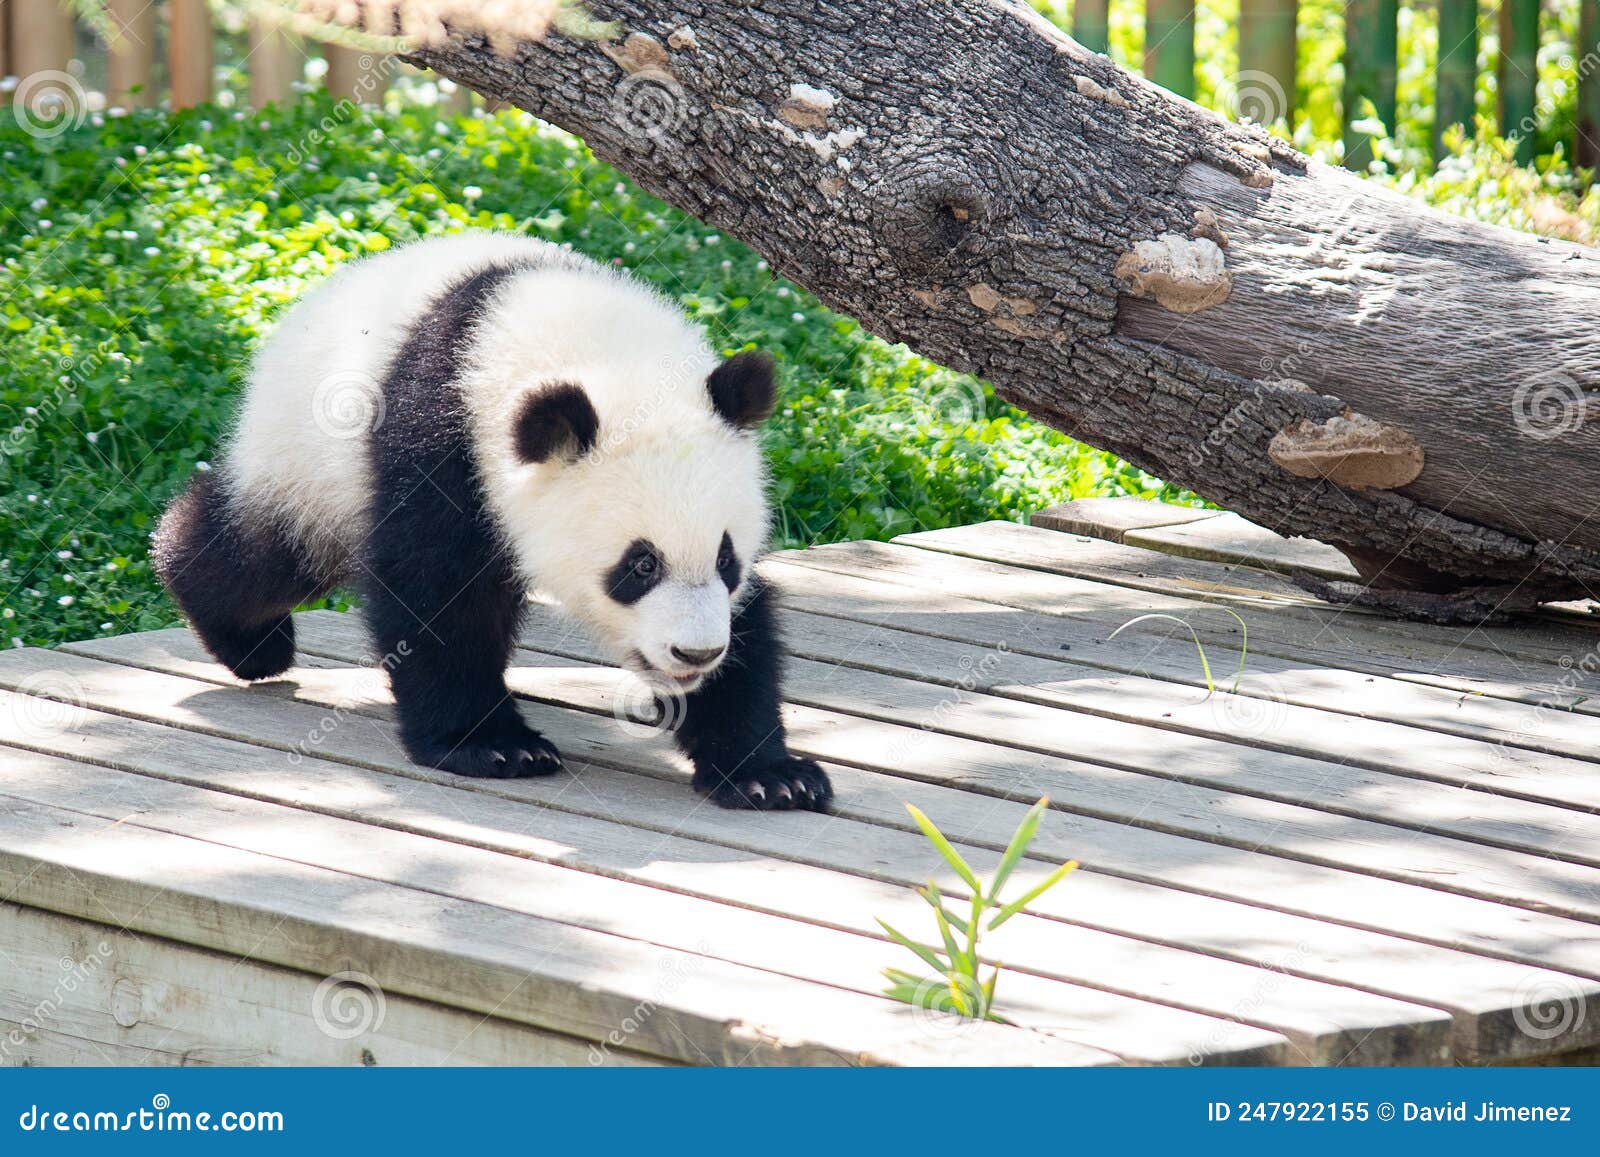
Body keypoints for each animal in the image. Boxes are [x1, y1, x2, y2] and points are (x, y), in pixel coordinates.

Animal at [152, 232, 832, 812]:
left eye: (726, 559)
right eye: (639, 565)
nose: (695, 652)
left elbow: (752, 622)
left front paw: (769, 774)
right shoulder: (441, 439)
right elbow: (436, 590)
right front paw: (491, 745)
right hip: (311, 462)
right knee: (267, 555)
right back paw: (238, 630)